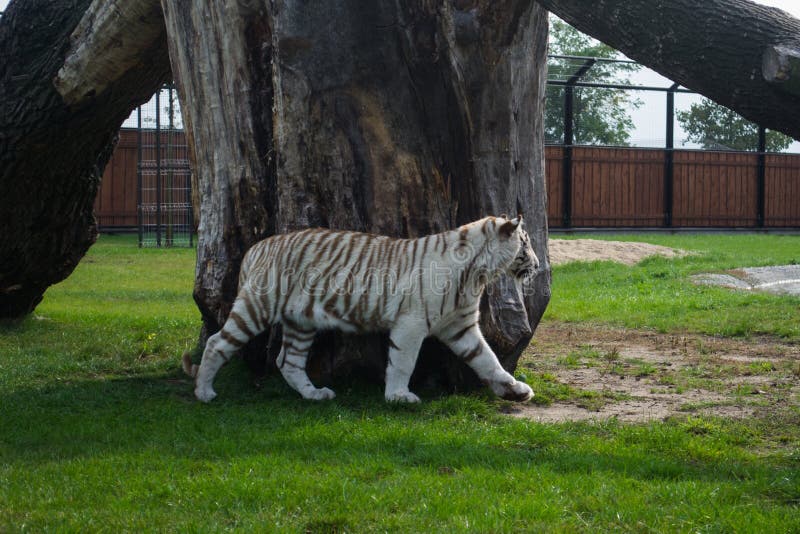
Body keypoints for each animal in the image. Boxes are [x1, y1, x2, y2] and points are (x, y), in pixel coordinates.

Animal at [182, 215, 539, 403]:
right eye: (525, 243)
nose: (537, 265)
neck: (477, 274)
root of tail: (257, 246)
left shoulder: (461, 326)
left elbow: (488, 359)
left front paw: (514, 389)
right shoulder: (411, 324)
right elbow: (402, 362)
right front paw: (398, 396)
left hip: (301, 322)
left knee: (289, 361)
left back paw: (315, 394)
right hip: (257, 307)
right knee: (217, 343)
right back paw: (204, 391)